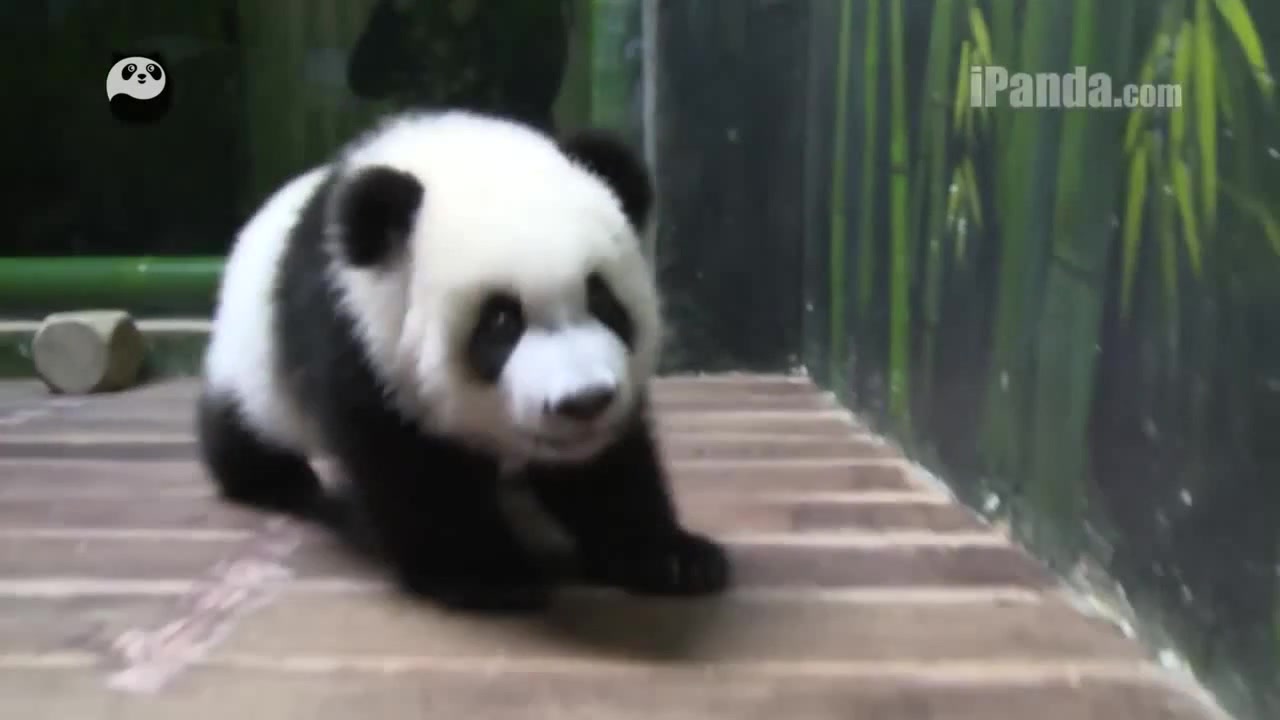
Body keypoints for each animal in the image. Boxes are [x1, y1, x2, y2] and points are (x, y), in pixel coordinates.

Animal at [196, 109, 730, 613]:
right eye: (500, 322)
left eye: (602, 301)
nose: (583, 402)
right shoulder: (356, 334)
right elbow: (410, 467)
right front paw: (489, 574)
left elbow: (610, 468)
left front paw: (674, 558)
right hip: (249, 367)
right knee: (243, 430)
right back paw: (274, 479)